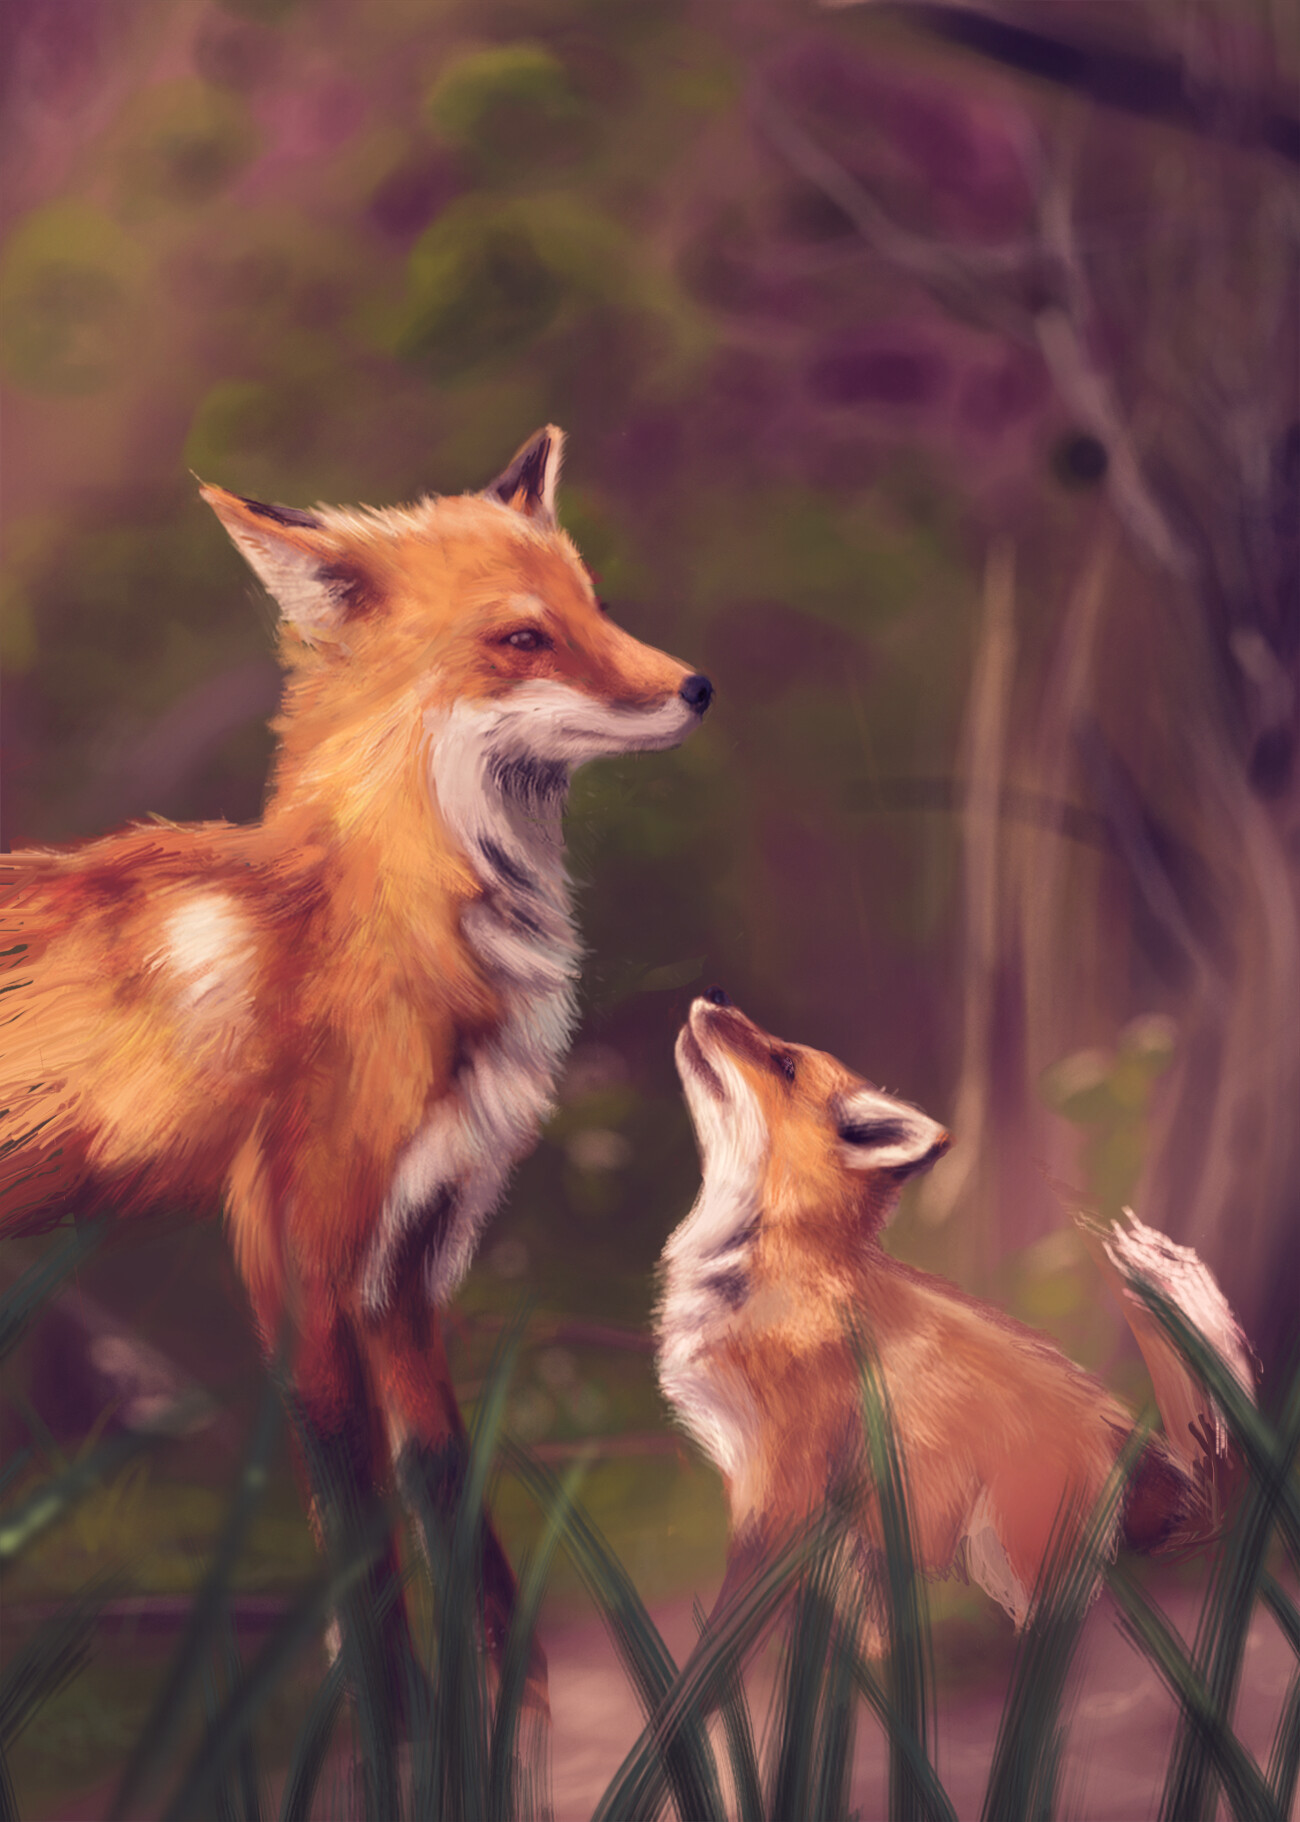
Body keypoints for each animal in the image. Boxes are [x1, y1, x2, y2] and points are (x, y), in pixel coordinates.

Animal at [0, 426, 714, 1709]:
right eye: (522, 637)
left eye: (595, 605)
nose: (696, 686)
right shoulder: (299, 1262)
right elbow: (363, 1563)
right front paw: (389, 1720)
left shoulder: (410, 1273)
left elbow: (464, 1547)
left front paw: (498, 1724)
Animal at [658, 990, 1255, 1647]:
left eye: (784, 1064)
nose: (716, 995)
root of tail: (1129, 1436)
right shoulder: (778, 1495)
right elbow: (865, 1639)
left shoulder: (786, 1491)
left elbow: (725, 1636)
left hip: (1010, 1553)